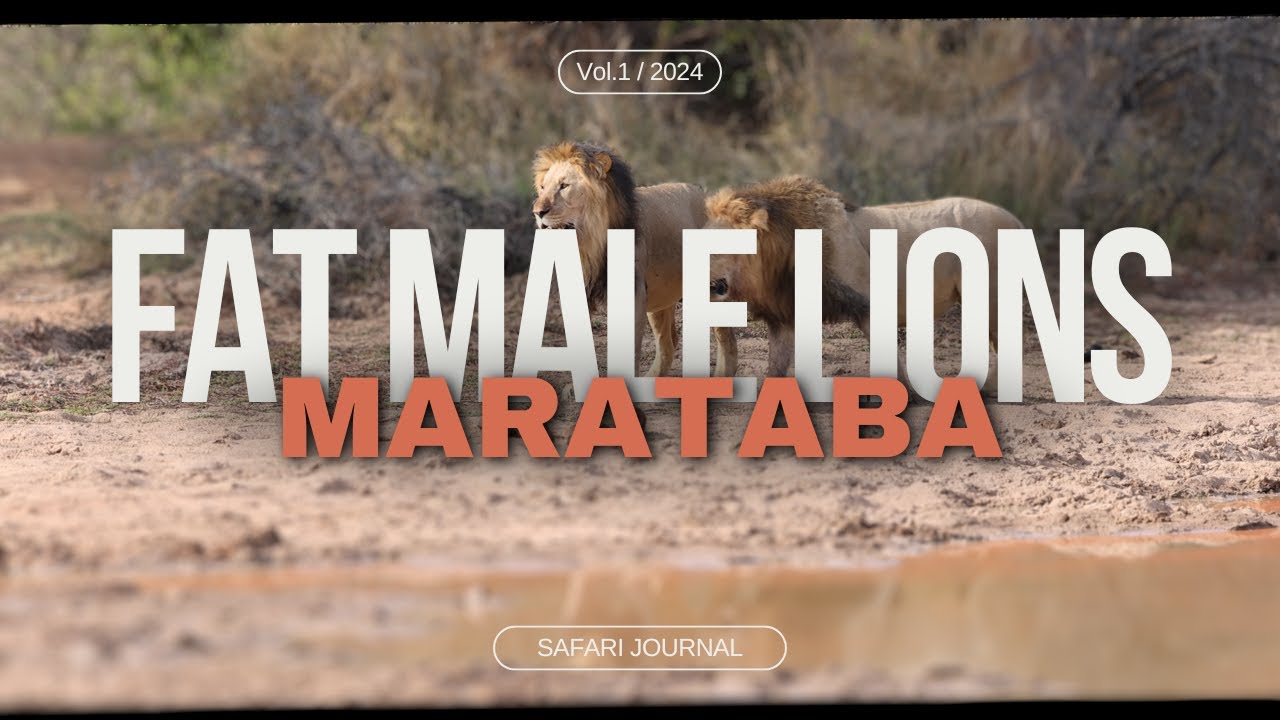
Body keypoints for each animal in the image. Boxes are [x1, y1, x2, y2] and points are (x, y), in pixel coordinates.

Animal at [532, 141, 737, 377]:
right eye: (543, 188)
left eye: (564, 186)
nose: (537, 212)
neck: (590, 244)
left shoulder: (633, 293)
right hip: (661, 296)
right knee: (669, 344)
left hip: (711, 287)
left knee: (726, 339)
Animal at [703, 175, 1024, 391]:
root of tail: (1017, 221)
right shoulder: (785, 314)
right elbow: (777, 363)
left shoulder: (867, 301)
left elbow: (891, 359)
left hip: (992, 296)